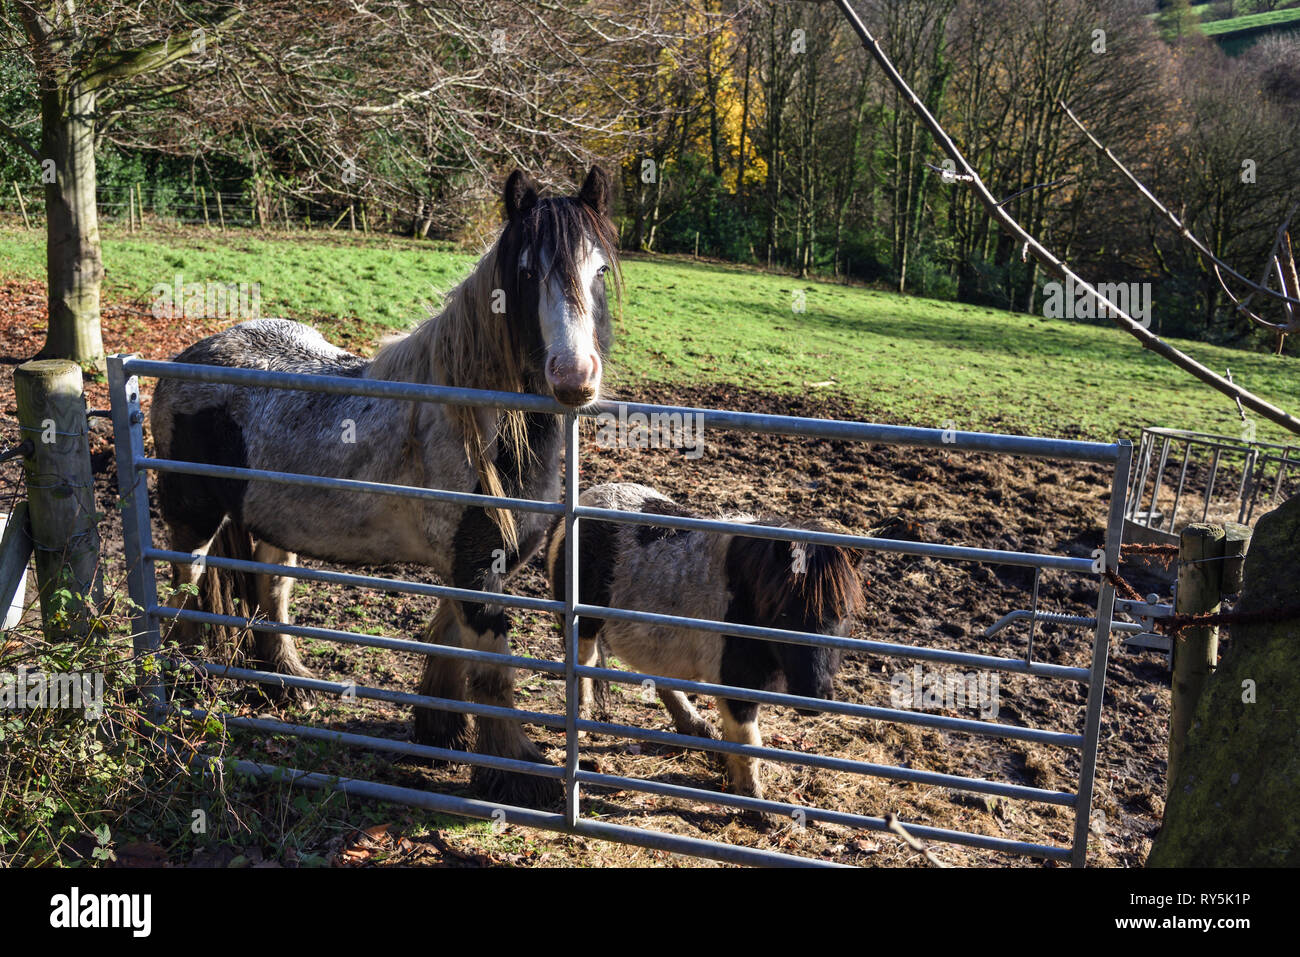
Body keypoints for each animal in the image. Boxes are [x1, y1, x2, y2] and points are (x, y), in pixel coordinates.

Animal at [149, 166, 619, 807]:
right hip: (191, 519)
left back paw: (287, 681)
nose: (574, 379)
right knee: (186, 588)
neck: (480, 426)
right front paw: (517, 772)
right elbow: (493, 674)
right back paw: (191, 677)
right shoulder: (475, 567)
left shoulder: (471, 564)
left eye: (600, 270)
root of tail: (188, 356)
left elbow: (448, 639)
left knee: (272, 587)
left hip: (270, 521)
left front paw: (441, 729)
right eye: (526, 273)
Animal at [545, 482, 863, 800]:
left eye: (844, 613)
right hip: (584, 625)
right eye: (785, 614)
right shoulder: (735, 682)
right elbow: (748, 744)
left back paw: (697, 728)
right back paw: (581, 722)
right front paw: (753, 801)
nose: (816, 696)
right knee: (583, 664)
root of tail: (583, 499)